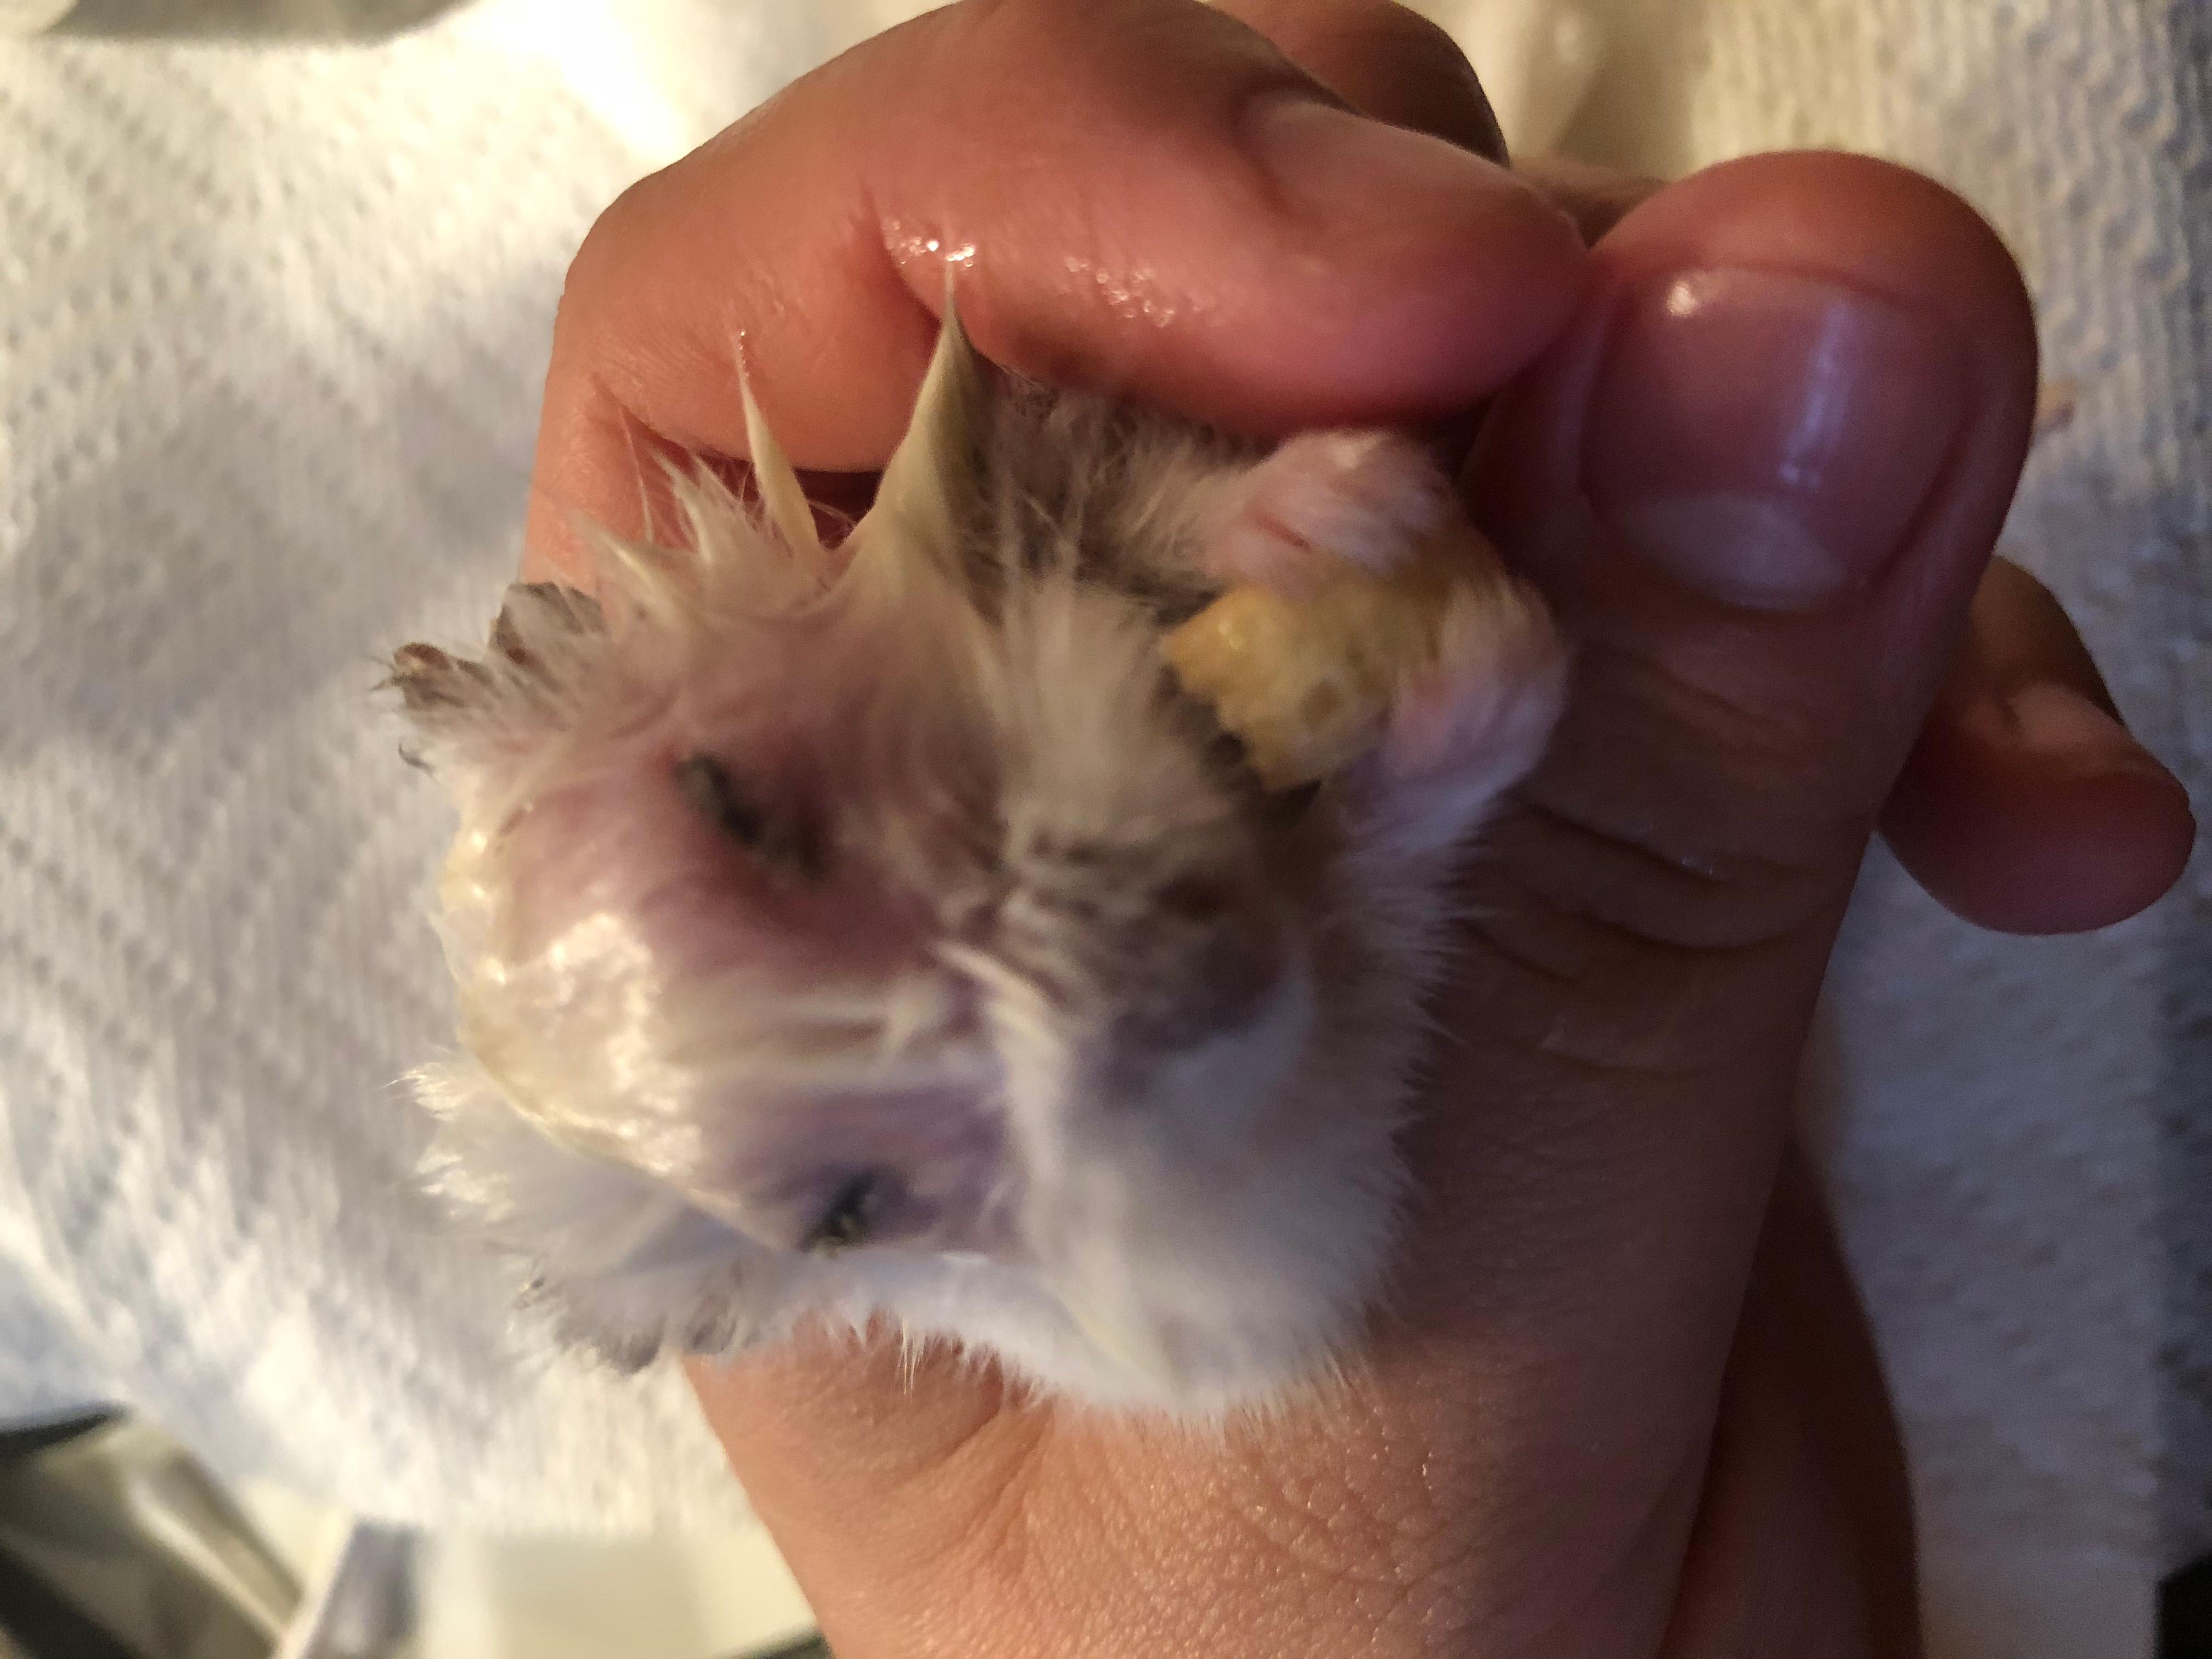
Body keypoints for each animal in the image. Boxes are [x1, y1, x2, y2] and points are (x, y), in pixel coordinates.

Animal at [388, 307, 1567, 1417]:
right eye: (845, 1216)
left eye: (736, 803)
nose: (1192, 963)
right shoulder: (1267, 1270)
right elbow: (1377, 913)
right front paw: (1488, 664)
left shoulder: (1035, 442)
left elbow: (1162, 487)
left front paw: (1355, 506)